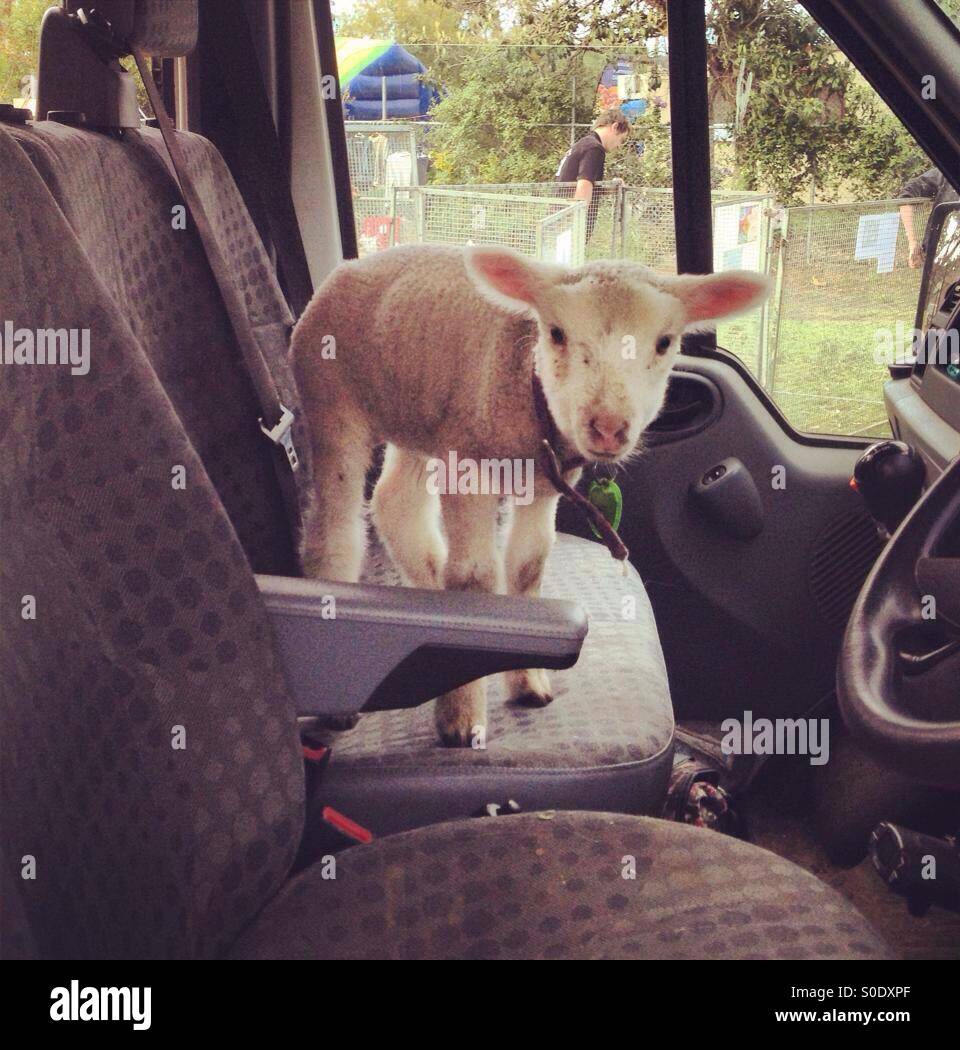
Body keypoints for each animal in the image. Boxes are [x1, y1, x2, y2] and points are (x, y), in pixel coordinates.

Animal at [291, 243, 770, 746]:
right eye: (556, 333)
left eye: (664, 343)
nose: (607, 426)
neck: (529, 392)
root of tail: (349, 267)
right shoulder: (468, 465)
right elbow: (473, 578)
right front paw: (461, 714)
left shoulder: (546, 485)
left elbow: (527, 565)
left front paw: (526, 682)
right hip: (328, 396)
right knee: (335, 526)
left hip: (418, 412)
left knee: (394, 502)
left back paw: (429, 587)